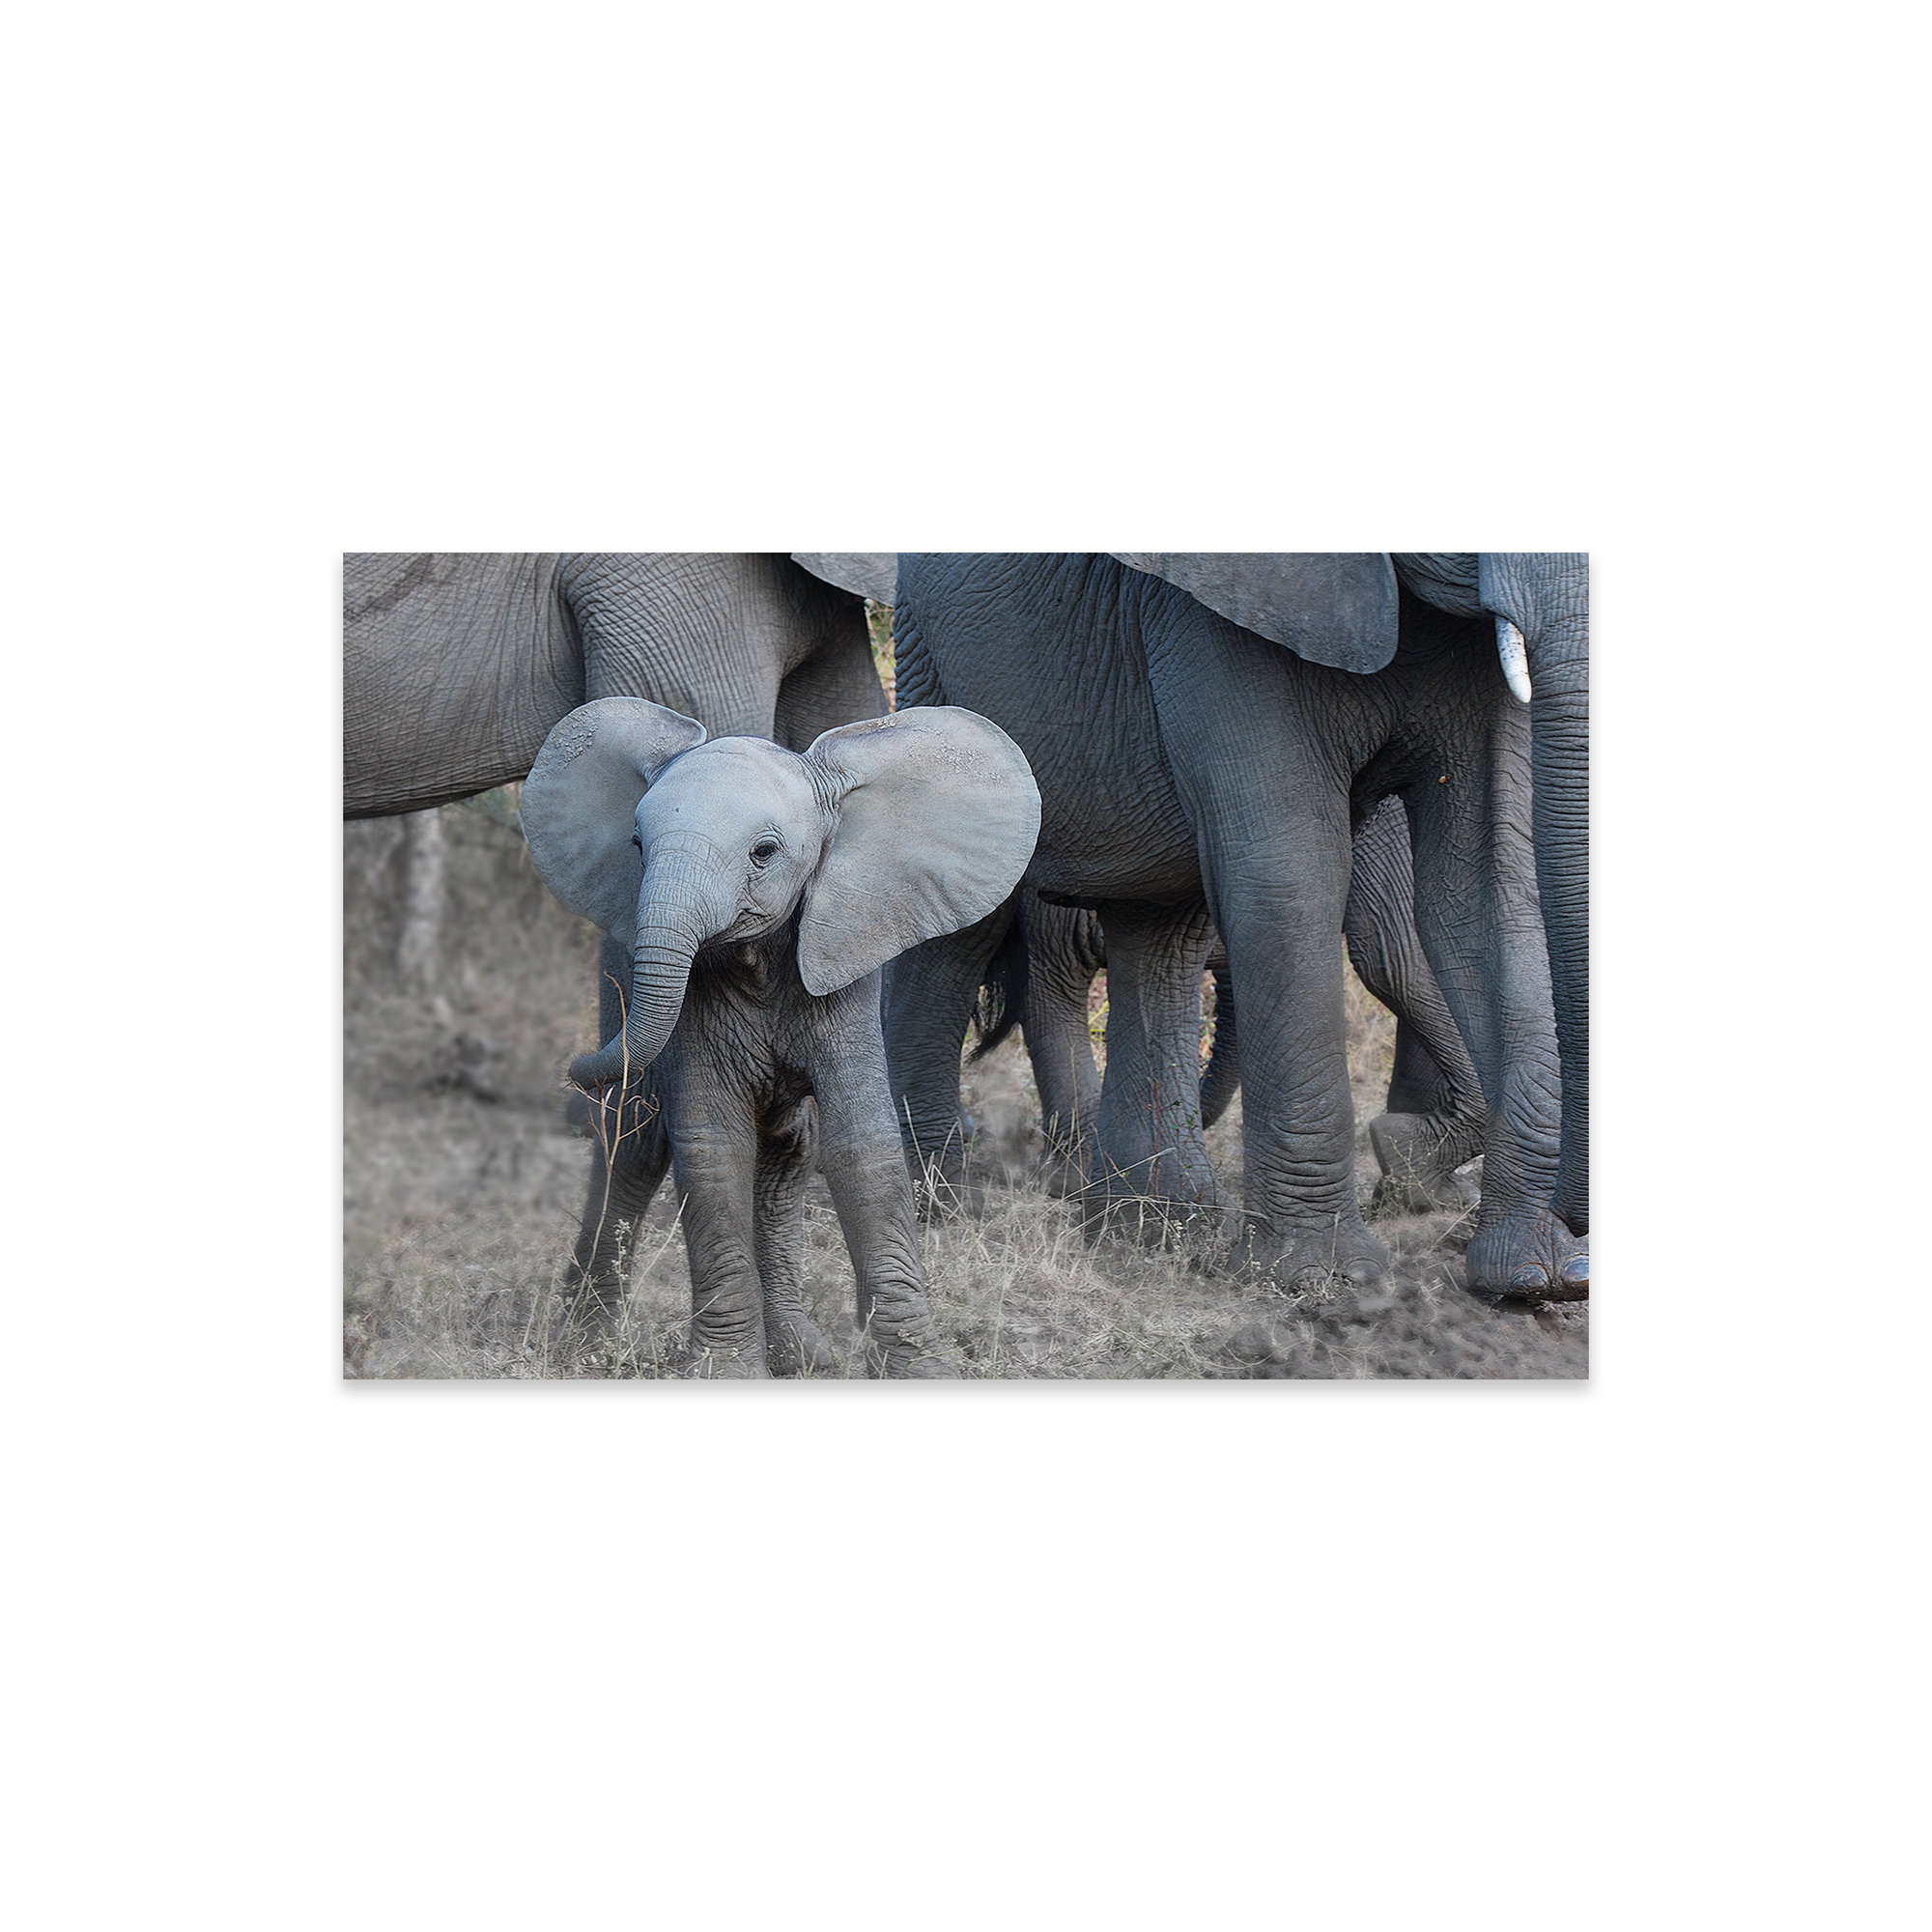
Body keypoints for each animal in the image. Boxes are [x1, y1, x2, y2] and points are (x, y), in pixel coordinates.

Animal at [518, 696, 1041, 1378]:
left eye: (764, 852)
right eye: (636, 845)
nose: (571, 1064)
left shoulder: (846, 968)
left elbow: (860, 1146)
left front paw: (921, 1369)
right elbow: (712, 1145)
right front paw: (725, 1373)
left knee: (788, 1149)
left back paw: (801, 1355)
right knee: (635, 1137)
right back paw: (585, 1343)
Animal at [805, 551, 1586, 1301]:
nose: (1576, 1233)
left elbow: (1485, 883)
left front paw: (1535, 1277)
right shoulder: (1222, 617)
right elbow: (1290, 878)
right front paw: (1325, 1281)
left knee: (1157, 920)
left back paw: (1150, 1228)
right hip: (936, 659)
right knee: (980, 920)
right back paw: (944, 1203)